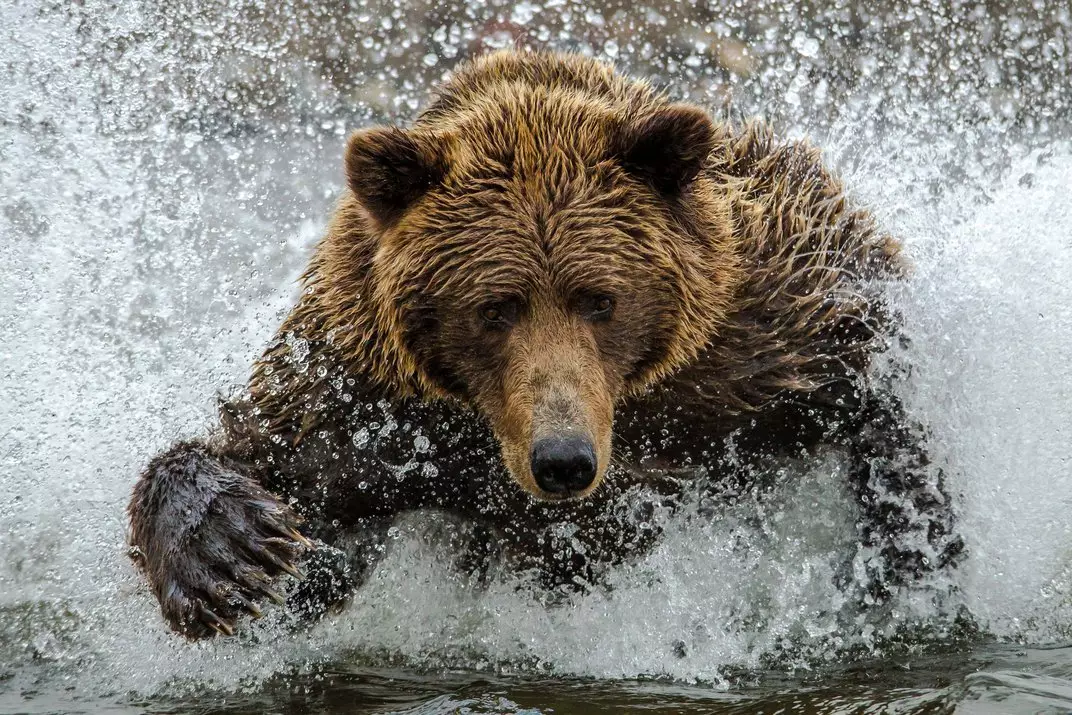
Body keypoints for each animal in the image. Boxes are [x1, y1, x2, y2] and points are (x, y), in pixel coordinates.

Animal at [125, 53, 964, 638]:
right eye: (495, 307)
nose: (564, 459)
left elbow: (873, 373)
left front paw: (908, 561)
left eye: (601, 298)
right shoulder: (366, 402)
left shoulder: (763, 322)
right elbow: (281, 475)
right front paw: (231, 551)